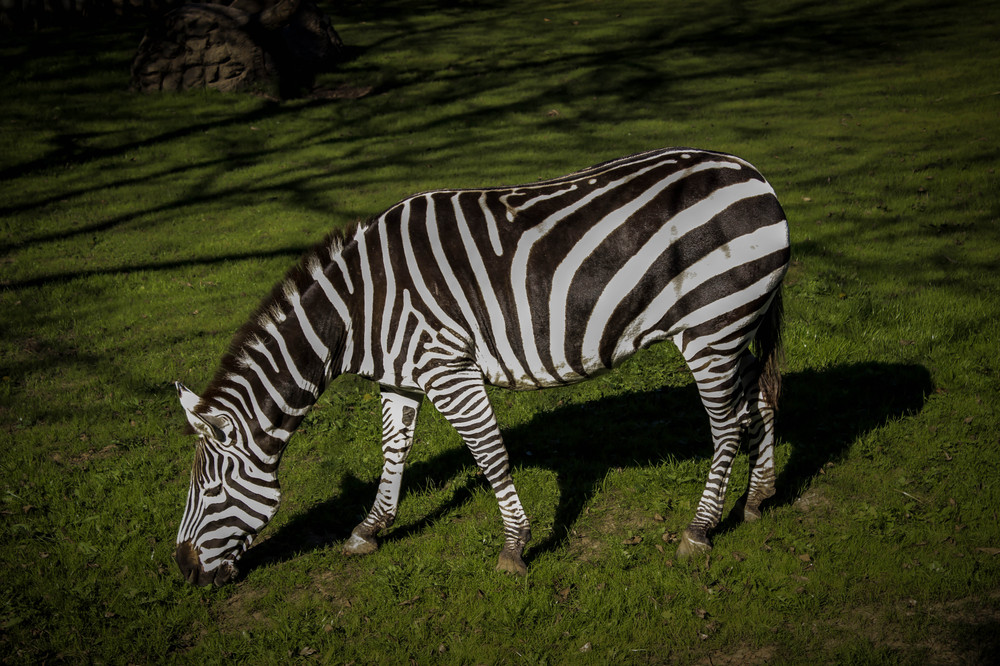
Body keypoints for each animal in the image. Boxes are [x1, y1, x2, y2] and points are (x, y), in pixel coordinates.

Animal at [173, 147, 790, 586]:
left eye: (210, 490)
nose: (182, 570)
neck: (357, 309)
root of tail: (754, 173)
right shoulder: (400, 376)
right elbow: (393, 451)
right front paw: (370, 528)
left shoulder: (447, 366)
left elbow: (489, 453)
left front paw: (514, 548)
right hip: (735, 325)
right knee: (760, 398)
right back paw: (758, 499)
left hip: (712, 326)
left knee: (726, 424)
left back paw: (699, 531)